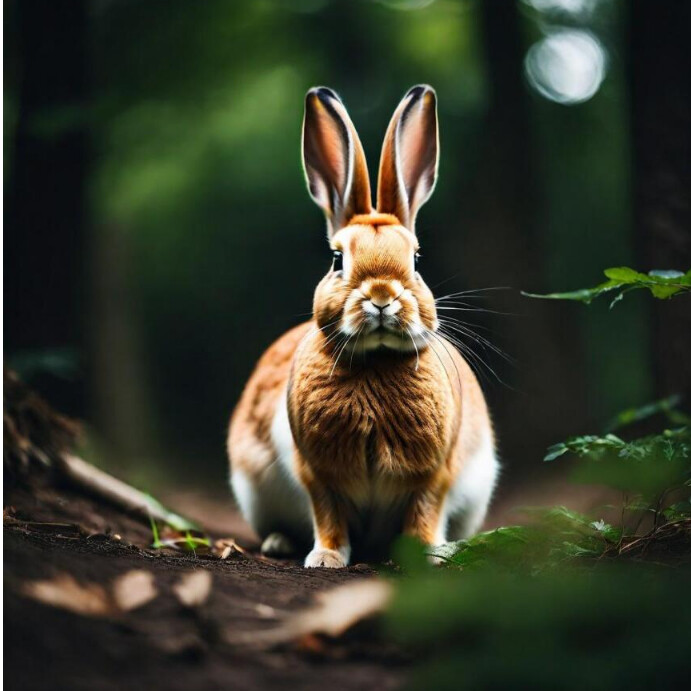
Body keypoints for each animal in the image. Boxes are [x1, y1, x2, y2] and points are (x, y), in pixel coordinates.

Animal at [228, 85, 499, 568]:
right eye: (337, 260)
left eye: (416, 259)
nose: (381, 296)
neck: (375, 362)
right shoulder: (318, 475)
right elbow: (328, 516)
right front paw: (326, 559)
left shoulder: (435, 475)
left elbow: (424, 513)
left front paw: (427, 556)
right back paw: (279, 543)